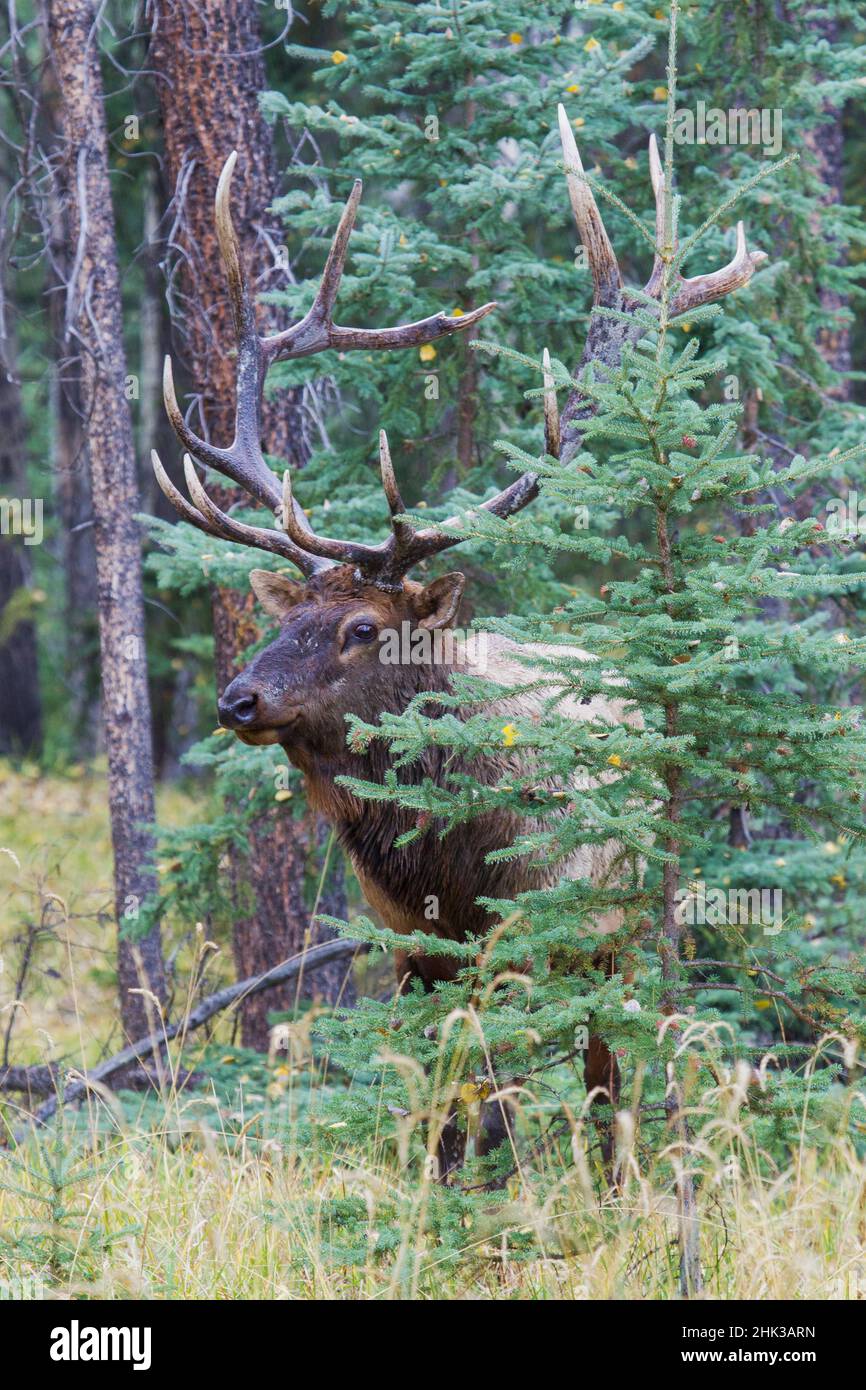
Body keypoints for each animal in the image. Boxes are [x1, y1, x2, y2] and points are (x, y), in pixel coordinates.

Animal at [151, 106, 768, 1172]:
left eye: (362, 626)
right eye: (285, 619)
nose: (239, 699)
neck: (447, 865)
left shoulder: (522, 932)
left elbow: (498, 1092)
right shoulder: (408, 945)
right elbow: (437, 1096)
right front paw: (441, 1184)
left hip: (628, 924)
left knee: (608, 1066)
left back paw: (615, 1172)